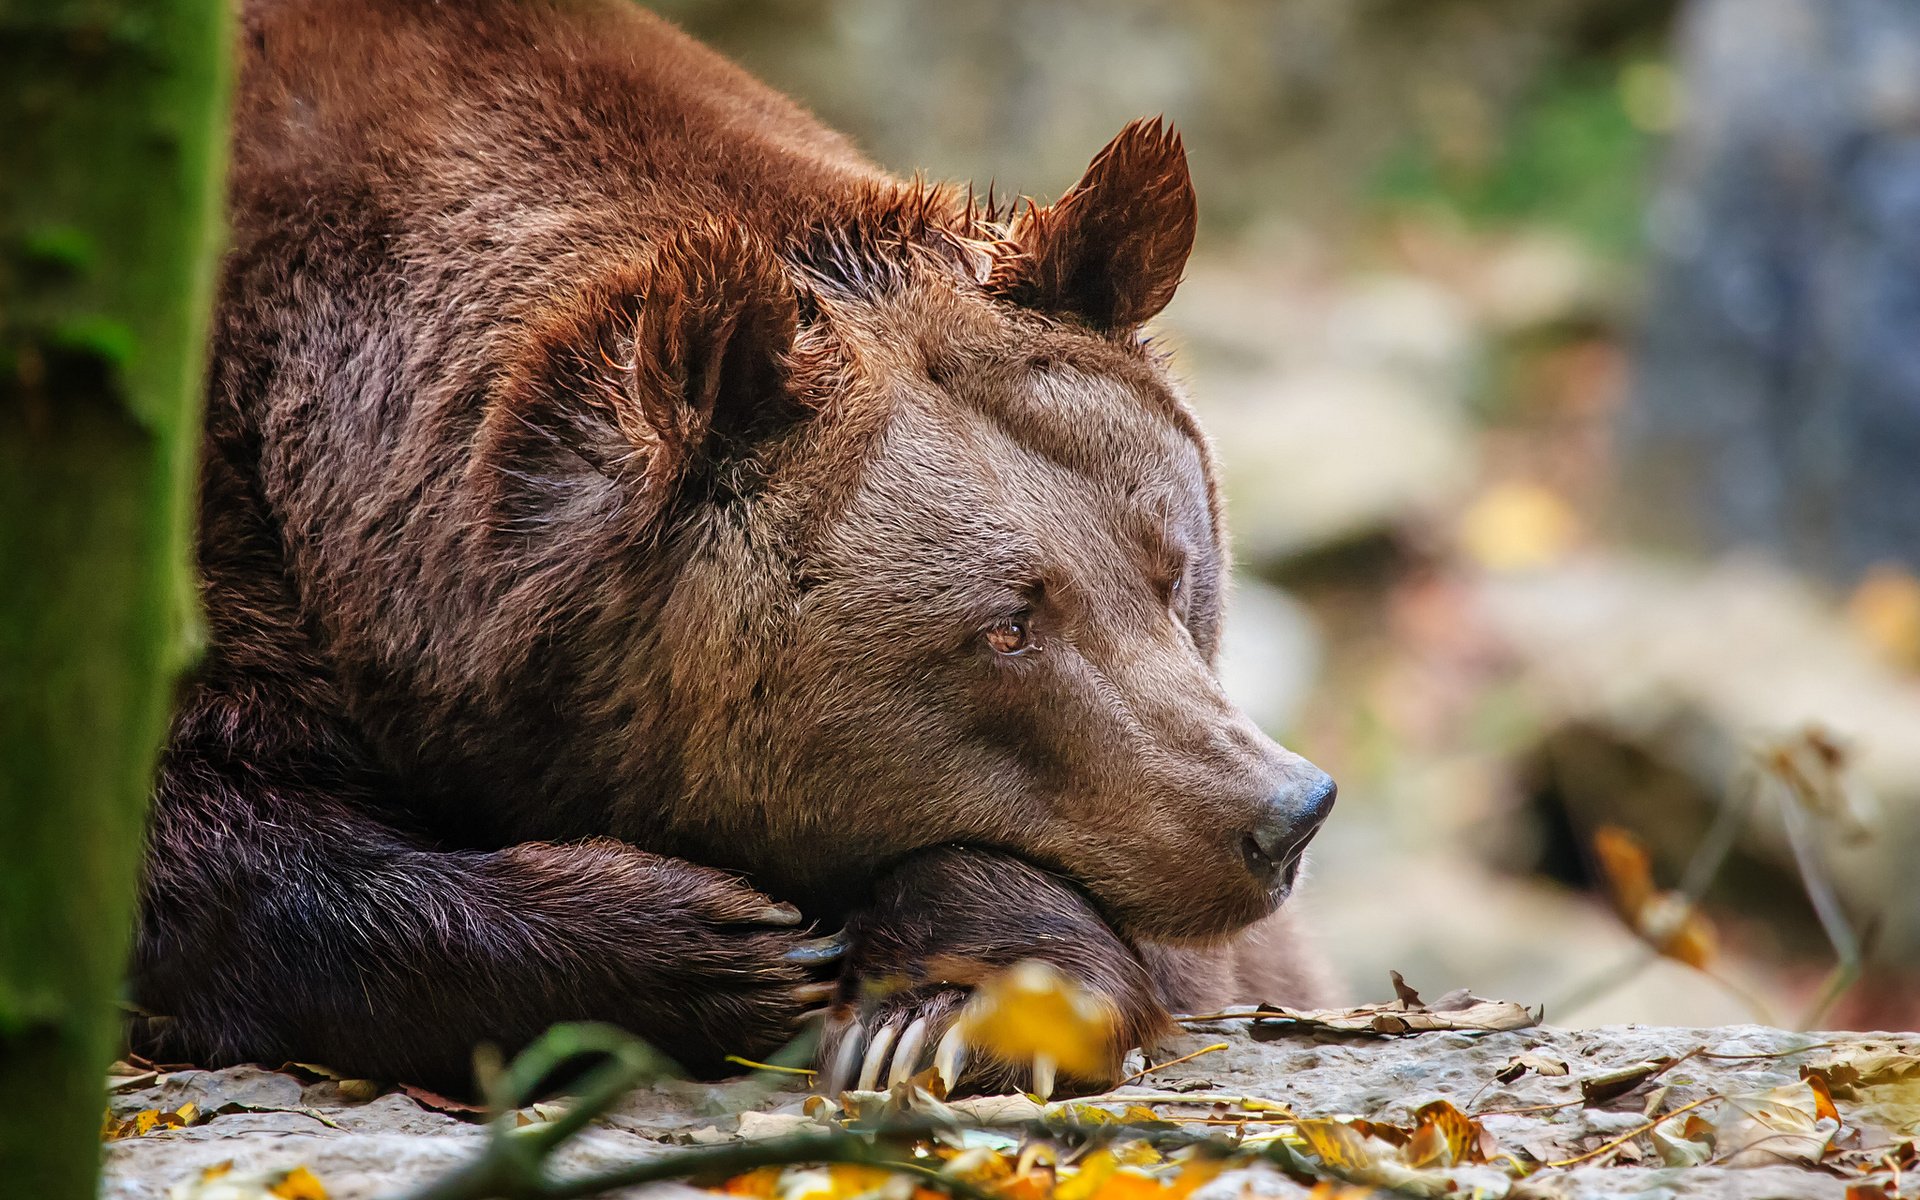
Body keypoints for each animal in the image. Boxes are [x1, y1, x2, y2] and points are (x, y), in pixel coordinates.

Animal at [130, 0, 1337, 1096]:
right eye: (1005, 628)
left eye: (1173, 569)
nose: (1281, 815)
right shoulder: (207, 521)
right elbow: (206, 842)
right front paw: (720, 943)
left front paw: (940, 1009)